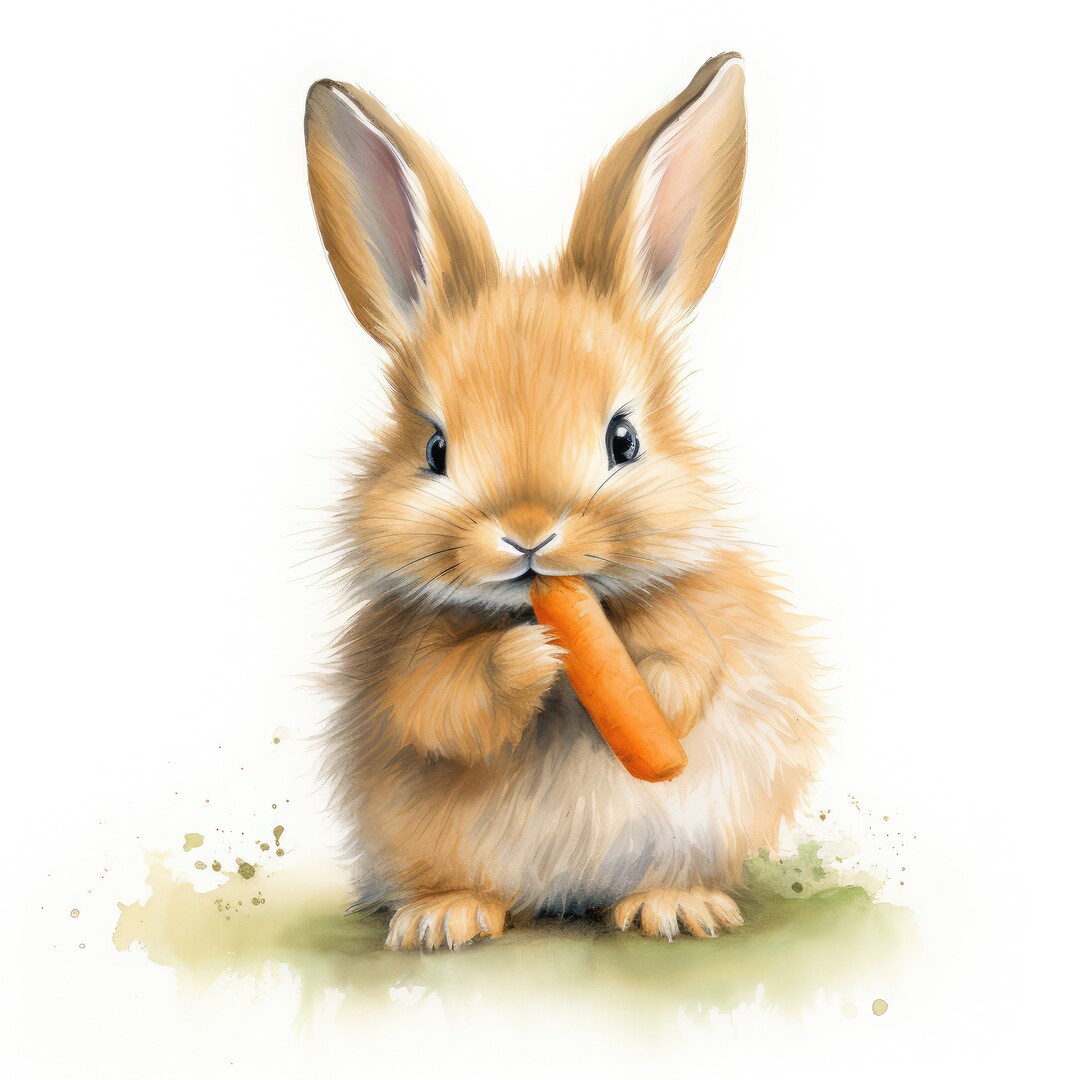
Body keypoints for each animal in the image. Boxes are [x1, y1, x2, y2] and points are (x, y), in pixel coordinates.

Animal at [304, 53, 827, 950]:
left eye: (624, 440)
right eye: (435, 451)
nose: (528, 535)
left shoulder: (705, 624)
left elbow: (690, 665)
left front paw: (632, 673)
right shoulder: (407, 666)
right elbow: (443, 703)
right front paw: (534, 656)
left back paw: (675, 906)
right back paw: (445, 918)